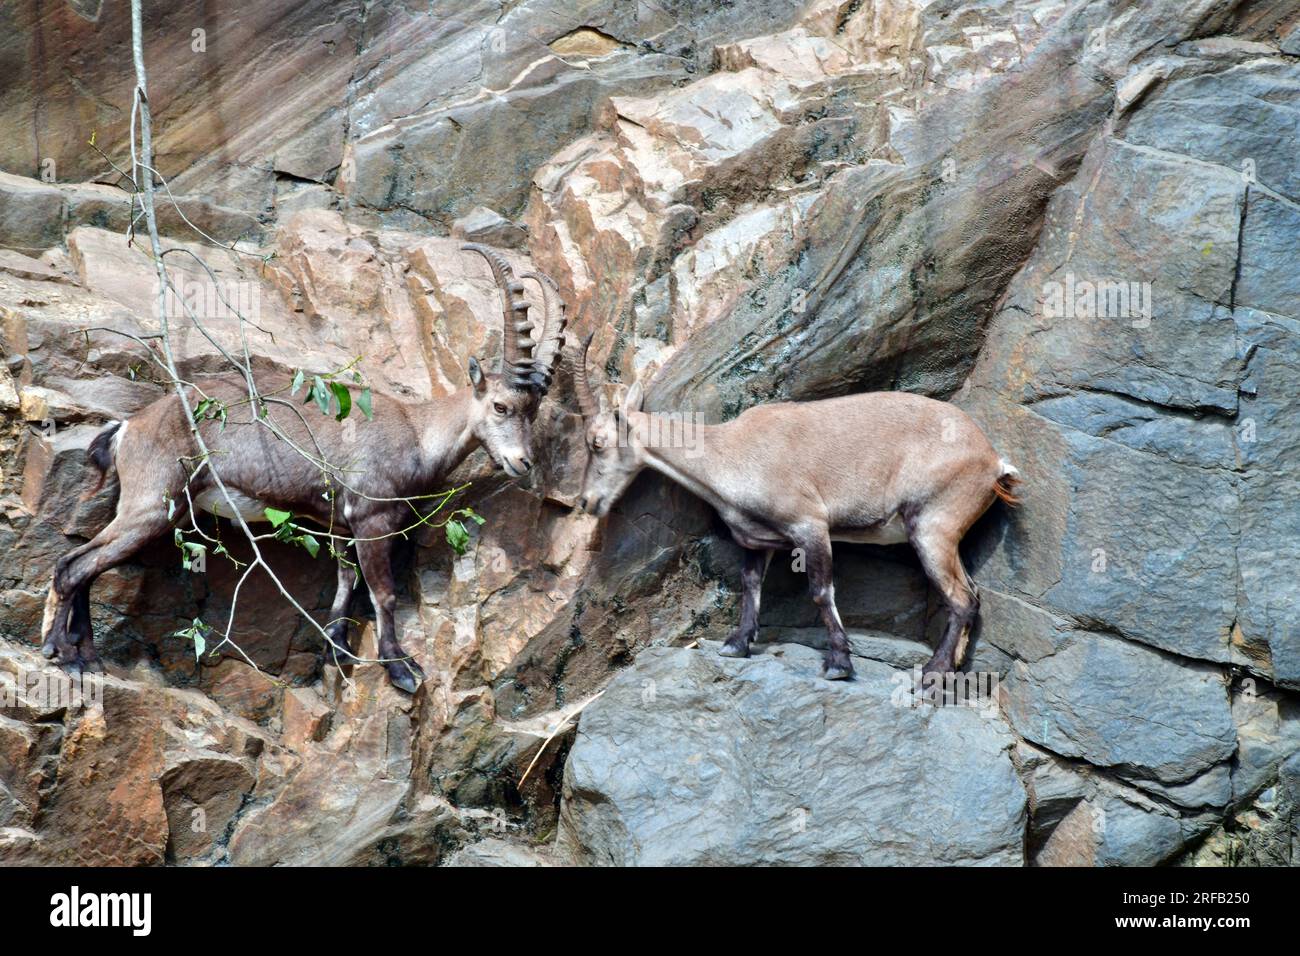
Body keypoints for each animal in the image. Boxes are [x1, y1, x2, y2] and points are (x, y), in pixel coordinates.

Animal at [40, 244, 566, 693]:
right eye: (500, 406)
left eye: (534, 410)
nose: (523, 462)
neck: (417, 432)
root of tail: (128, 427)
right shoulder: (373, 518)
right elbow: (384, 594)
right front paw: (400, 669)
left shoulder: (339, 524)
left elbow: (345, 583)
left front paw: (336, 649)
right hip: (154, 504)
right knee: (75, 566)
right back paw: (66, 655)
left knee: (80, 565)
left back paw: (83, 654)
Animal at [571, 336, 1019, 682]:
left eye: (597, 442)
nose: (587, 502)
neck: (727, 454)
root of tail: (993, 462)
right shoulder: (757, 540)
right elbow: (751, 585)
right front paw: (737, 645)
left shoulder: (809, 525)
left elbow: (820, 592)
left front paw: (839, 663)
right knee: (972, 593)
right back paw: (954, 666)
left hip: (931, 524)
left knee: (961, 598)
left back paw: (933, 672)